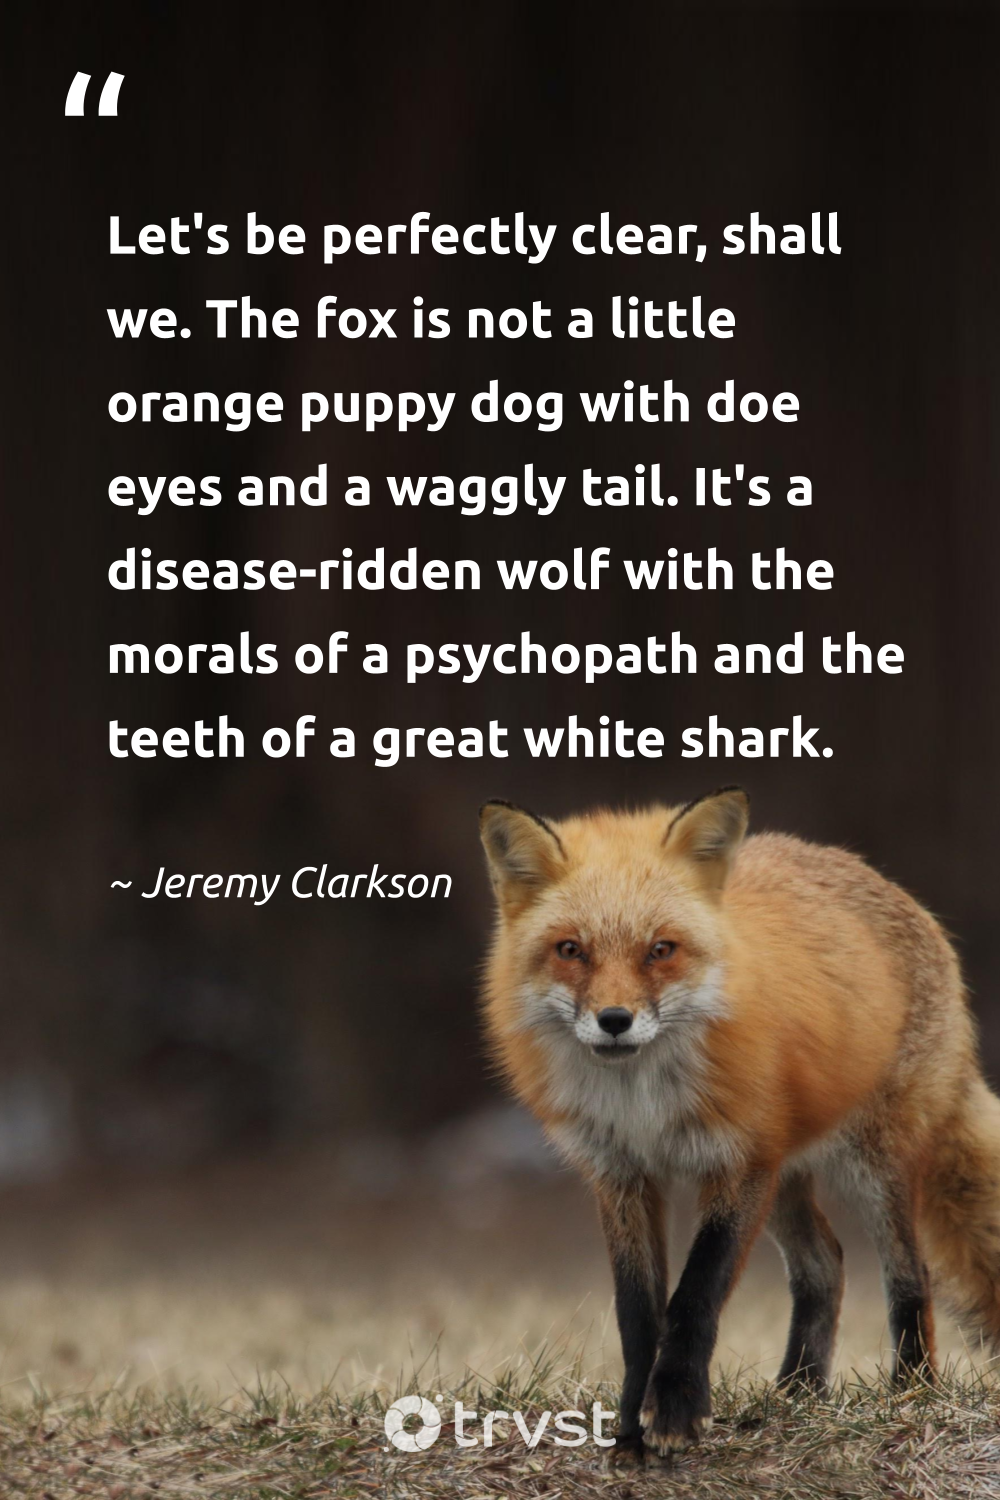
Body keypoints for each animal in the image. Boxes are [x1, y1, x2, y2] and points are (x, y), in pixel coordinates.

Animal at [478, 788, 1000, 1461]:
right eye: (571, 950)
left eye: (661, 949)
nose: (615, 1020)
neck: (644, 1103)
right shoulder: (621, 1176)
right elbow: (637, 1313)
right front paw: (630, 1429)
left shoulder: (738, 1161)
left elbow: (696, 1294)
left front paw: (675, 1411)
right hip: (786, 1178)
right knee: (825, 1265)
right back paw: (798, 1393)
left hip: (868, 1166)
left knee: (911, 1274)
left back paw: (910, 1391)